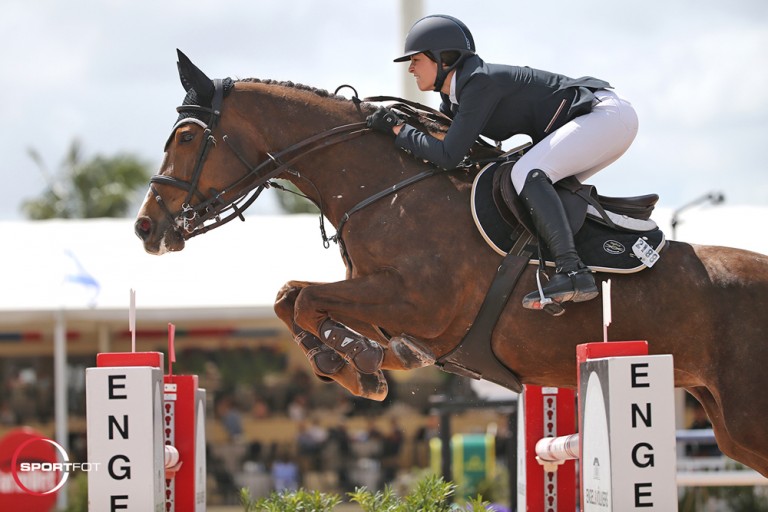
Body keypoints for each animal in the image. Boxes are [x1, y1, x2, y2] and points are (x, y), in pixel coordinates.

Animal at [135, 51, 768, 476]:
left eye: (186, 137)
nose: (146, 228)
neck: (384, 187)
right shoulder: (385, 304)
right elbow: (290, 297)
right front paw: (357, 362)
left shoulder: (418, 303)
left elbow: (304, 295)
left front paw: (354, 364)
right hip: (732, 427)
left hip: (746, 417)